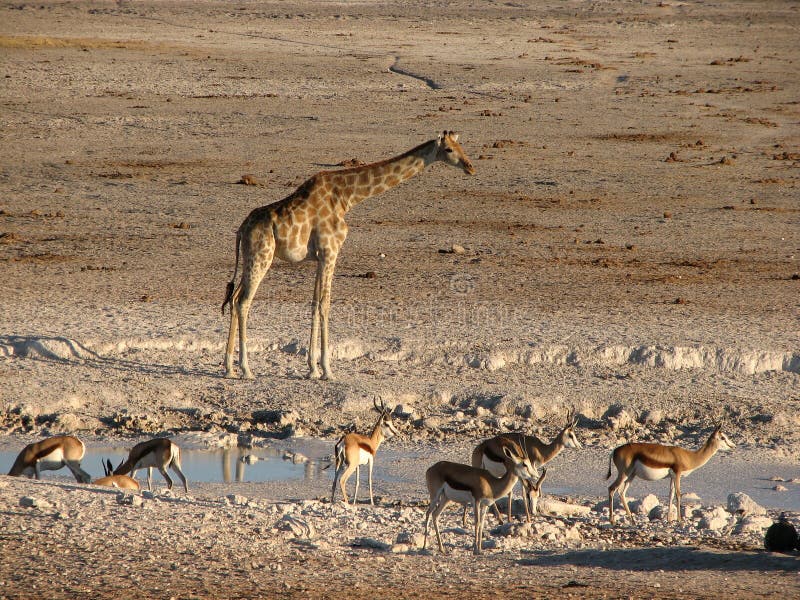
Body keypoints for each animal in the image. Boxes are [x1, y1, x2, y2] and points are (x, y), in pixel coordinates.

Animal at [222, 131, 475, 380]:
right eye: (449, 149)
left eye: (462, 146)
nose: (470, 167)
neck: (347, 197)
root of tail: (241, 229)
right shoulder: (330, 251)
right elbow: (325, 305)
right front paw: (327, 370)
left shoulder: (320, 257)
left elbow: (314, 304)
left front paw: (312, 369)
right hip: (262, 256)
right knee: (244, 302)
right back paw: (246, 369)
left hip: (250, 257)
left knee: (234, 298)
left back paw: (228, 367)